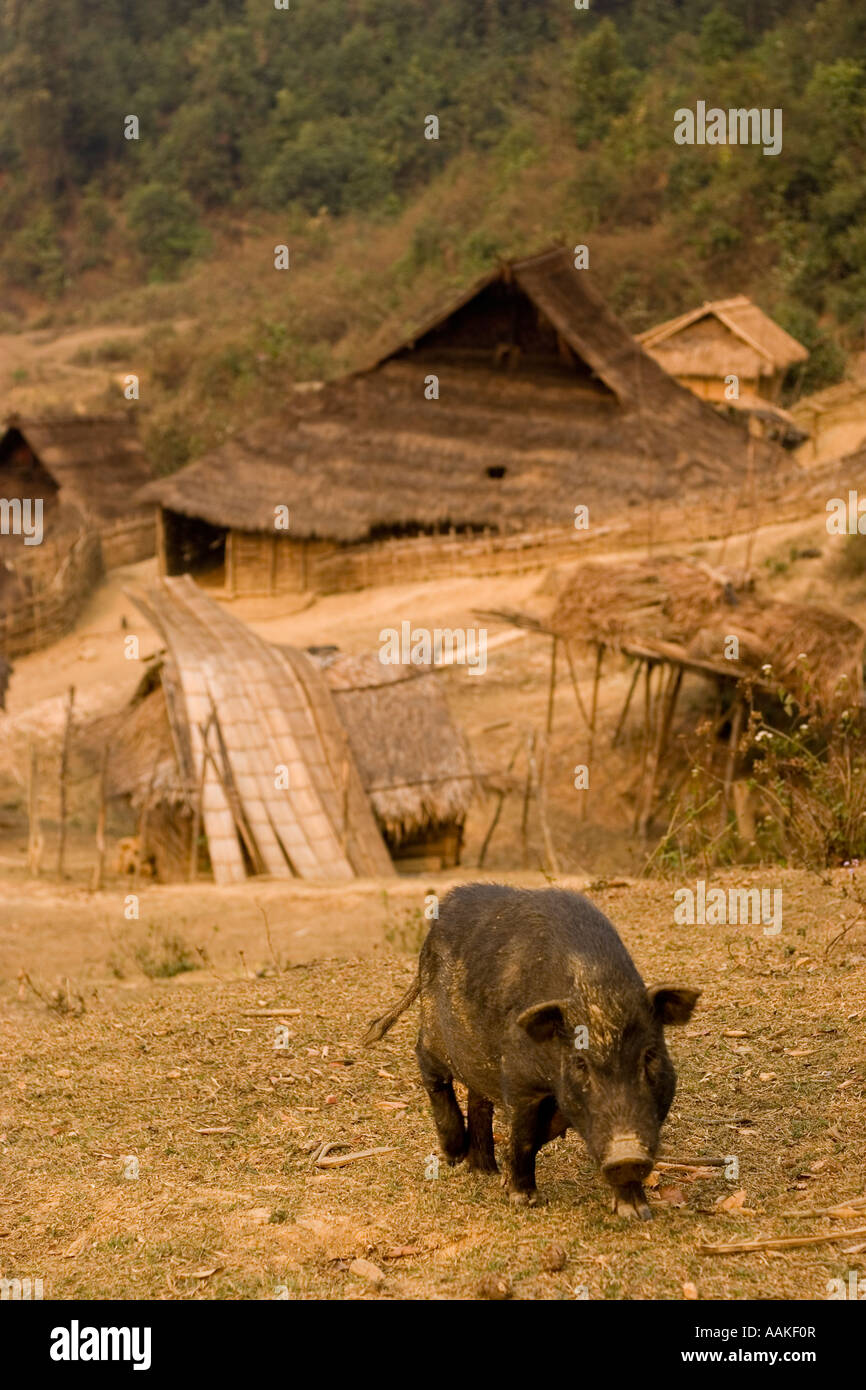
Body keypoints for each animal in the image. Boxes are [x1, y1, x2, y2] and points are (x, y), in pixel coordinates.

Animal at [364, 883, 699, 1218]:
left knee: (478, 1098)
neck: (598, 994)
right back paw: (455, 1156)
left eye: (650, 1055)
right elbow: (524, 1136)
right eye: (580, 1063)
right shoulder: (520, 1079)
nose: (627, 1154)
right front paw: (523, 1199)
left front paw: (638, 1213)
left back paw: (485, 1171)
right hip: (434, 1029)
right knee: (427, 1062)